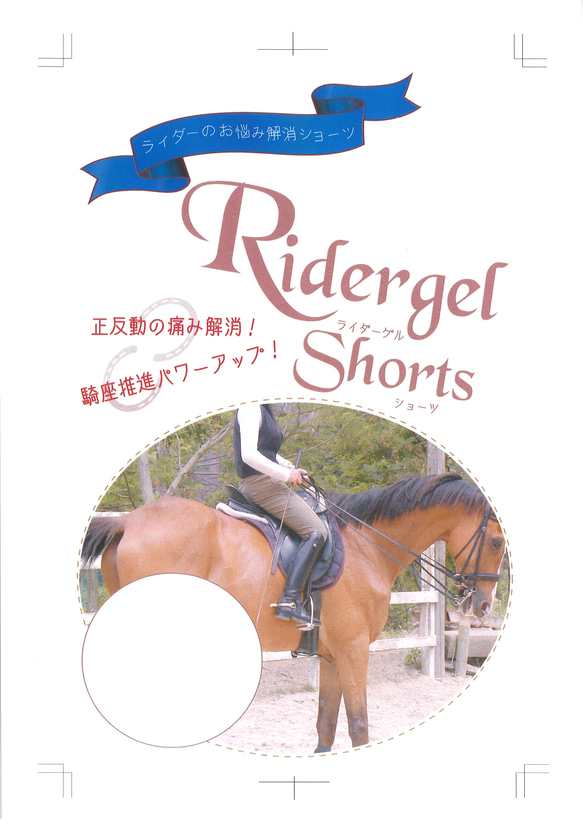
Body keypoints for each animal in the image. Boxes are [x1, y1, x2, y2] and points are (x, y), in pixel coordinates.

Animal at [81, 473, 505, 752]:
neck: (366, 547)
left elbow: (326, 727)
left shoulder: (333, 656)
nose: (484, 605)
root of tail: (127, 521)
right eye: (498, 542)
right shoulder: (354, 651)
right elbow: (359, 727)